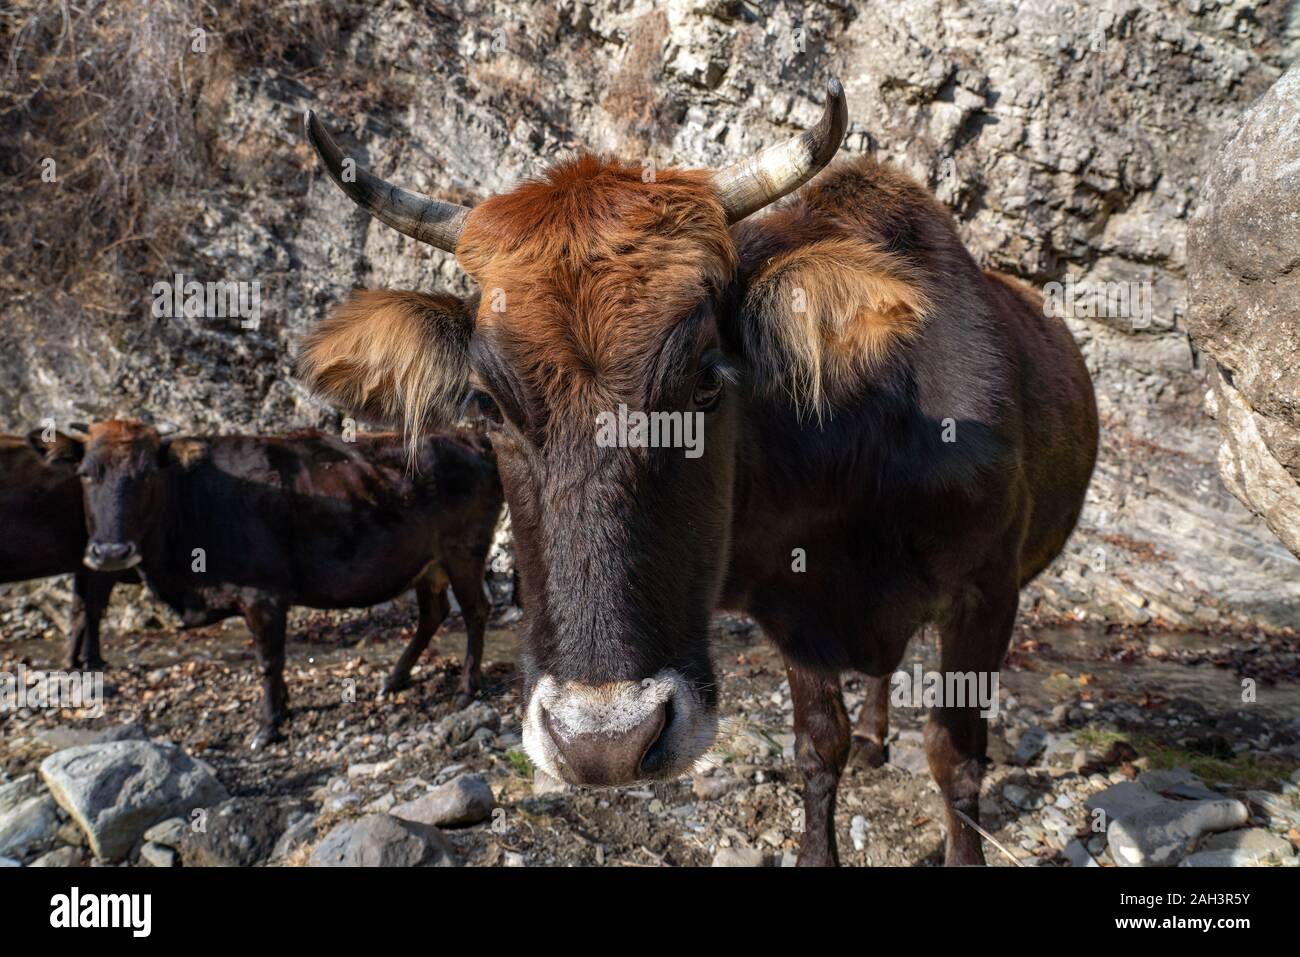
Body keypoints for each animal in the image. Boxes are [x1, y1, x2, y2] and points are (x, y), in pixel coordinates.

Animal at [62, 421, 504, 748]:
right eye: (85, 474)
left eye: (147, 474)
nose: (111, 552)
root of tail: (468, 436)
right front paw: (284, 709)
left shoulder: (263, 596)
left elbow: (269, 660)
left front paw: (269, 725)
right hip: (427, 564)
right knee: (434, 613)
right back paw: (394, 679)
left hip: (463, 551)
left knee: (475, 611)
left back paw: (466, 688)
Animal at [296, 78, 1099, 865]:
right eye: (487, 403)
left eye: (706, 381)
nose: (605, 742)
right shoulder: (793, 613)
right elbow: (819, 746)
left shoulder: (986, 592)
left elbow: (954, 757)